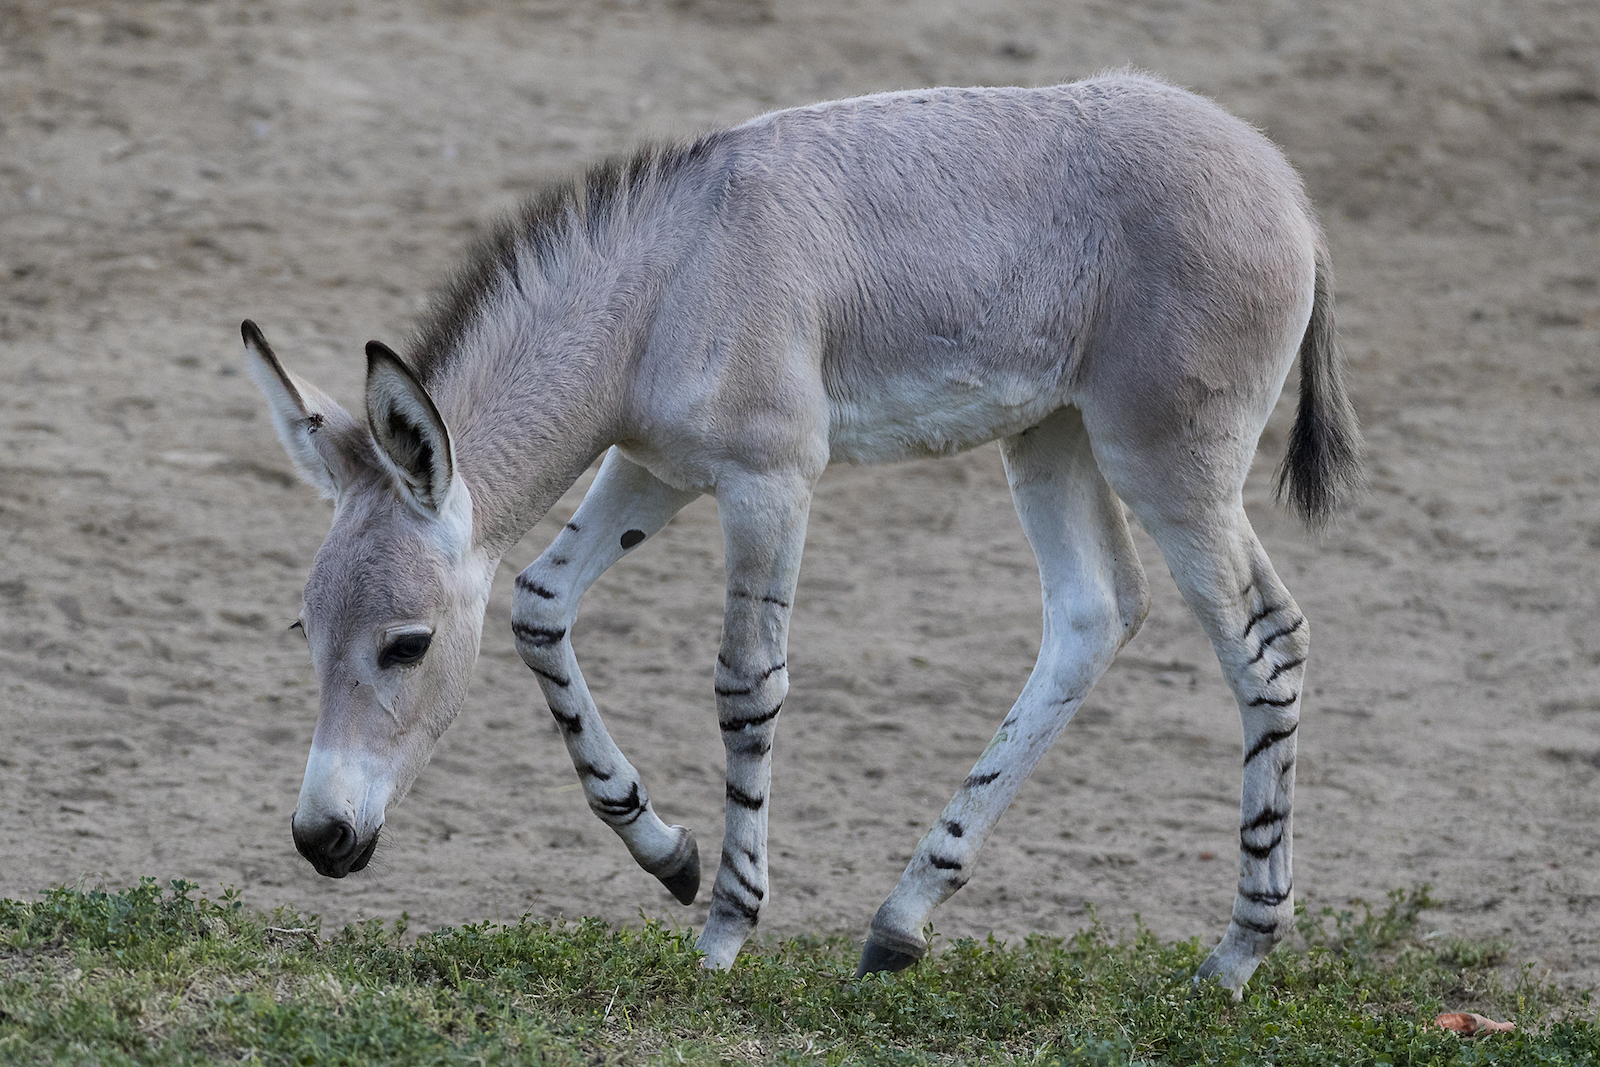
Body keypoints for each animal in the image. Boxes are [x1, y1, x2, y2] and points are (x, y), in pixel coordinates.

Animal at [241, 71, 1360, 993]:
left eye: (407, 645)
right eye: (306, 634)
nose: (320, 838)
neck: (668, 282)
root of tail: (1288, 190)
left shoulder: (770, 484)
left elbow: (747, 684)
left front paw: (726, 928)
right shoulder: (654, 467)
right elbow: (538, 605)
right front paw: (668, 853)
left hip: (1170, 468)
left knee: (1266, 643)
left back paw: (1237, 952)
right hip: (1051, 436)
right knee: (1093, 615)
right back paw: (903, 918)